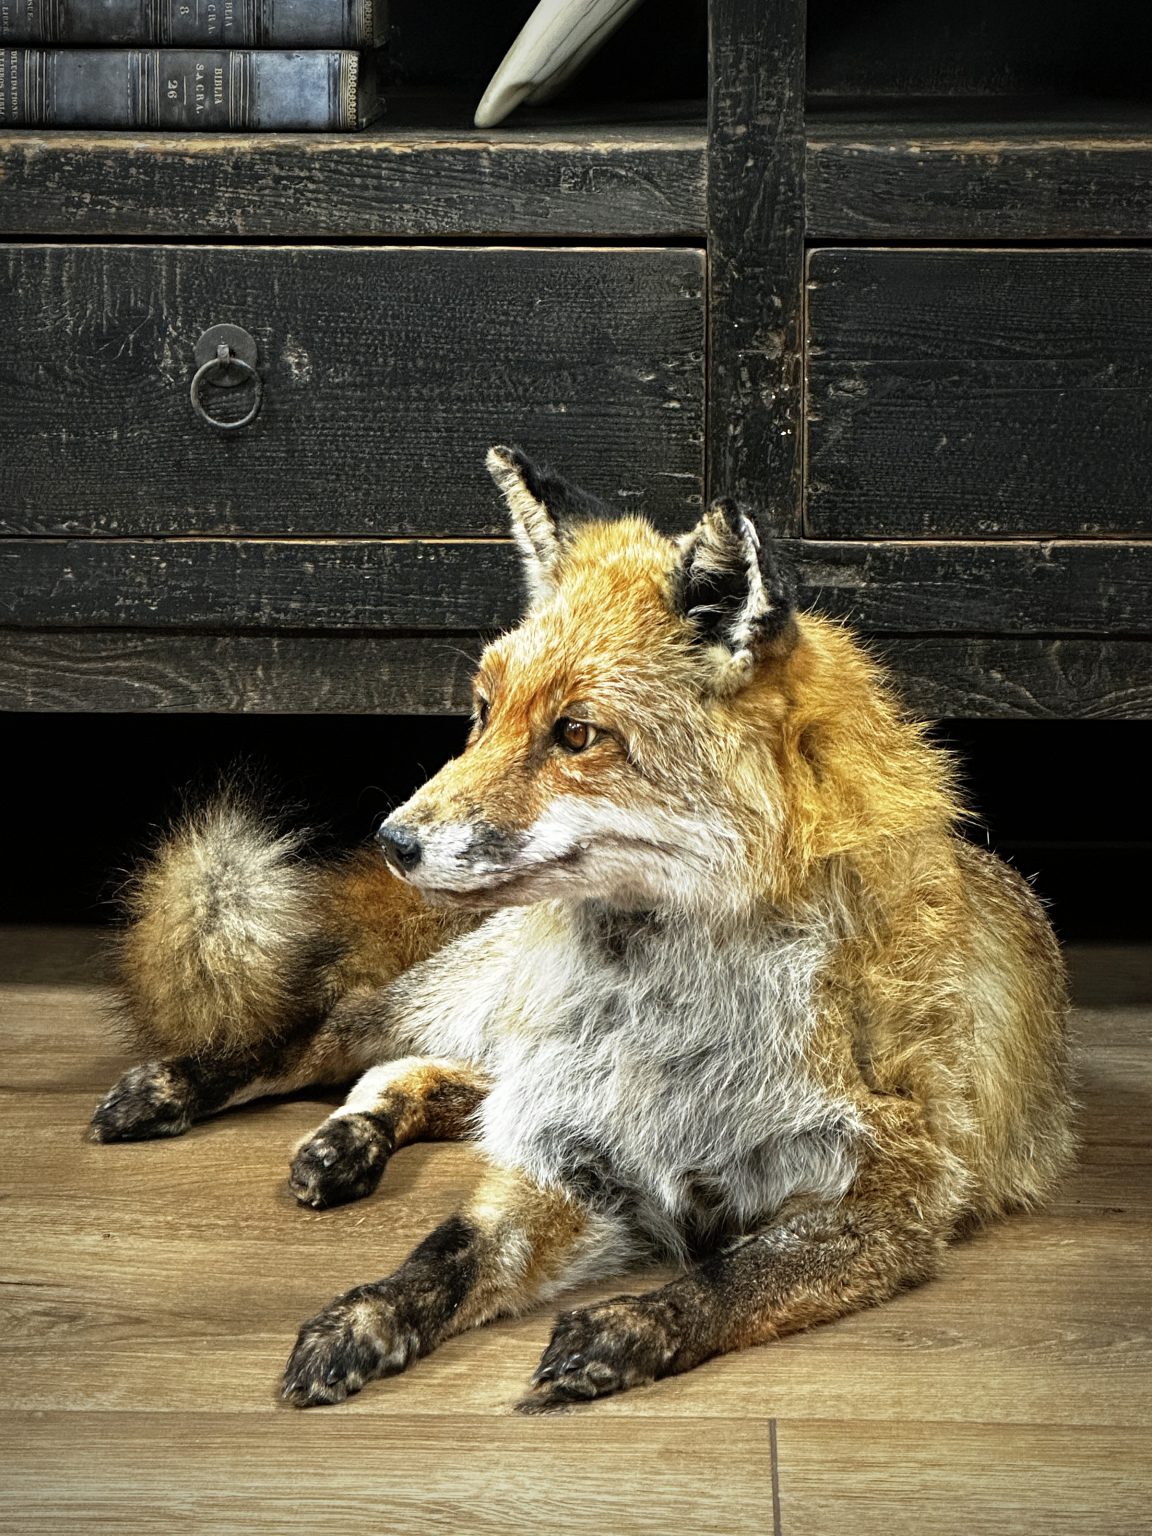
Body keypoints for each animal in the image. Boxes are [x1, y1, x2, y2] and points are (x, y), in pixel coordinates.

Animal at [90, 444, 1075, 1412]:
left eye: (576, 734)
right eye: (484, 712)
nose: (393, 841)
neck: (667, 1015)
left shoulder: (886, 1196)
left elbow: (730, 1278)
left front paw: (627, 1331)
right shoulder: (575, 1156)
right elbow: (446, 1253)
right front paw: (365, 1318)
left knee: (425, 1080)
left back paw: (349, 1138)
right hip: (477, 1016)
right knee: (332, 1035)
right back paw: (194, 1094)